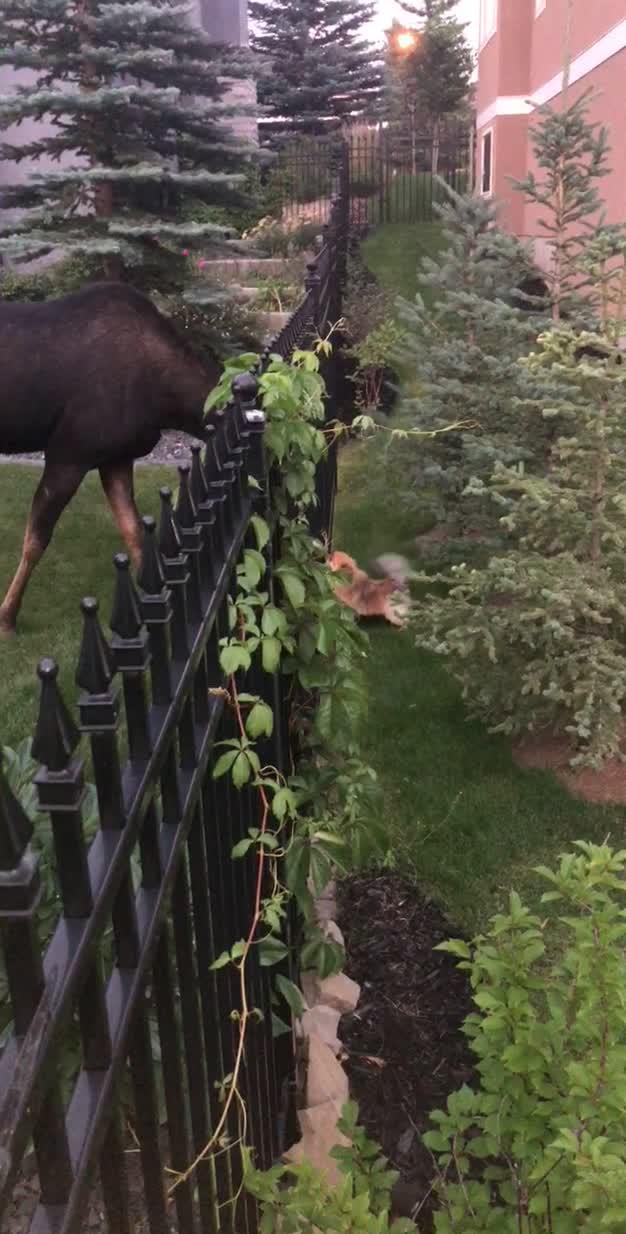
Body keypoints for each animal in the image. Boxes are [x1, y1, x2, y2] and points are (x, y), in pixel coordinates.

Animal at [0, 281, 221, 635]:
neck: (168, 404)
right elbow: (35, 540)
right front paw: (8, 616)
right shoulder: (68, 455)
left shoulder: (116, 459)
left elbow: (134, 532)